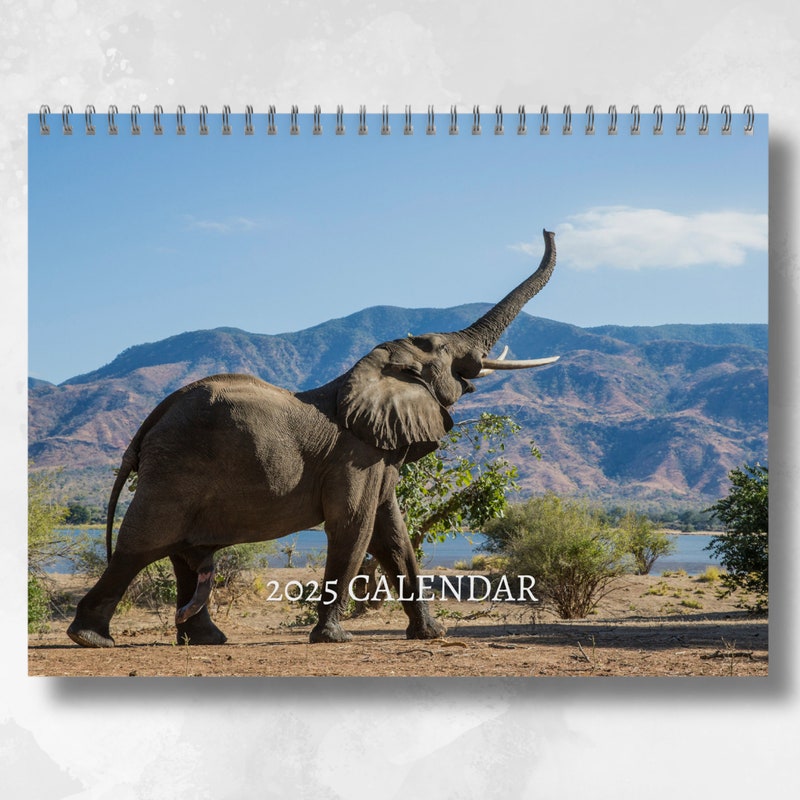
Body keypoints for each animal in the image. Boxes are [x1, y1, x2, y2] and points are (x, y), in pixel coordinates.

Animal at [67, 230, 558, 648]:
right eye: (441, 349)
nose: (549, 230)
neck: (371, 370)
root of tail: (151, 421)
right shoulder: (355, 457)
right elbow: (354, 527)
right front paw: (334, 638)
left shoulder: (378, 455)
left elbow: (394, 537)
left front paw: (431, 634)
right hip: (175, 469)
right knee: (140, 547)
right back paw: (90, 639)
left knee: (182, 554)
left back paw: (206, 639)